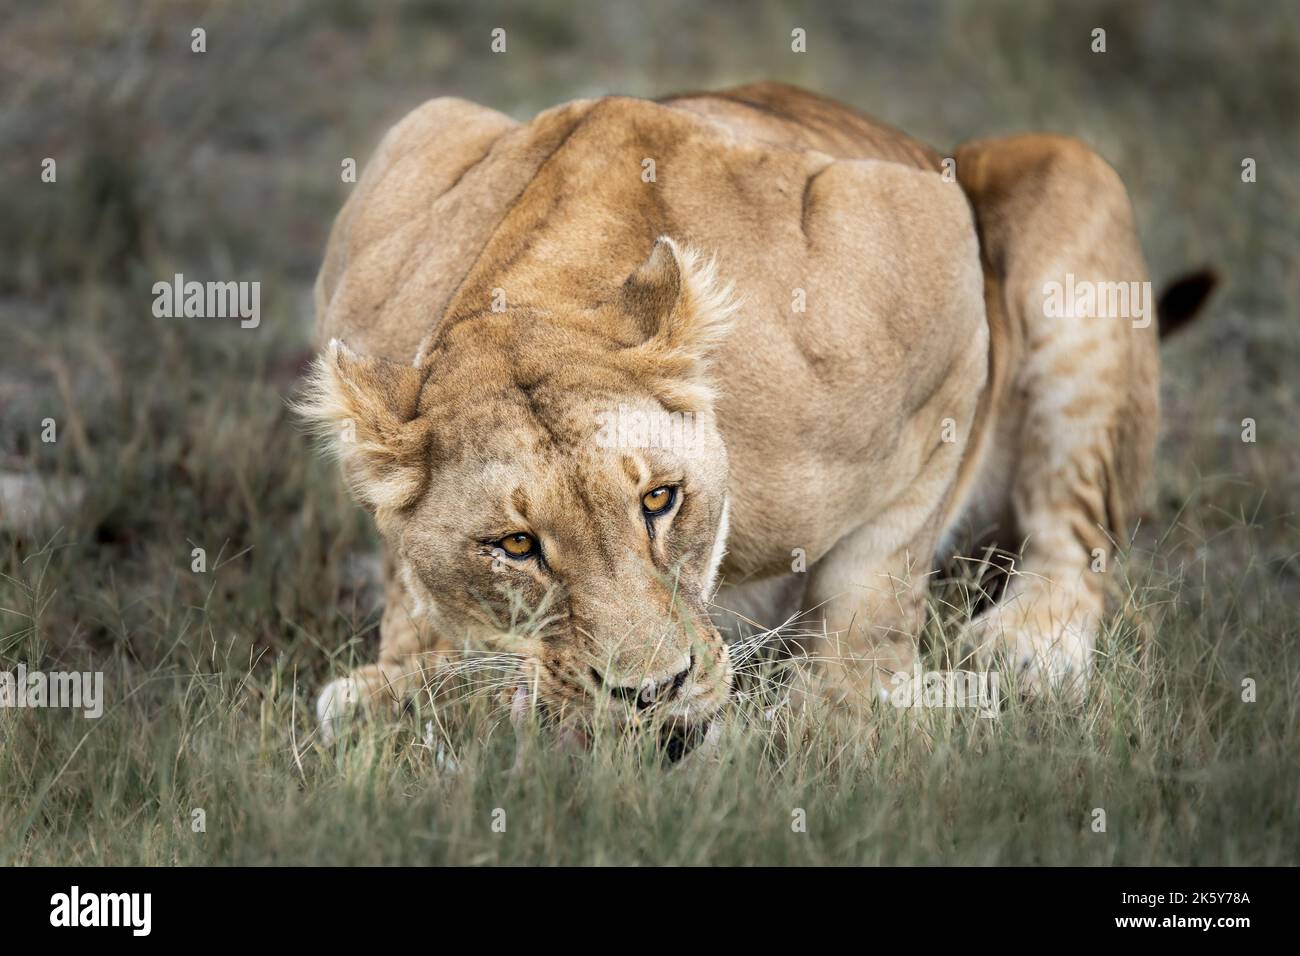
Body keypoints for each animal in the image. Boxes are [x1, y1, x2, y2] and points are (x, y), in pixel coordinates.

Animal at [299, 82, 1214, 749]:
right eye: (516, 546)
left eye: (660, 500)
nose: (649, 694)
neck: (541, 290)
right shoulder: (409, 160)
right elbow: (411, 581)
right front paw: (407, 678)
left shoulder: (933, 252)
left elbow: (880, 572)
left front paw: (840, 707)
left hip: (1070, 177)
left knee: (1078, 527)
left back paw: (1027, 644)